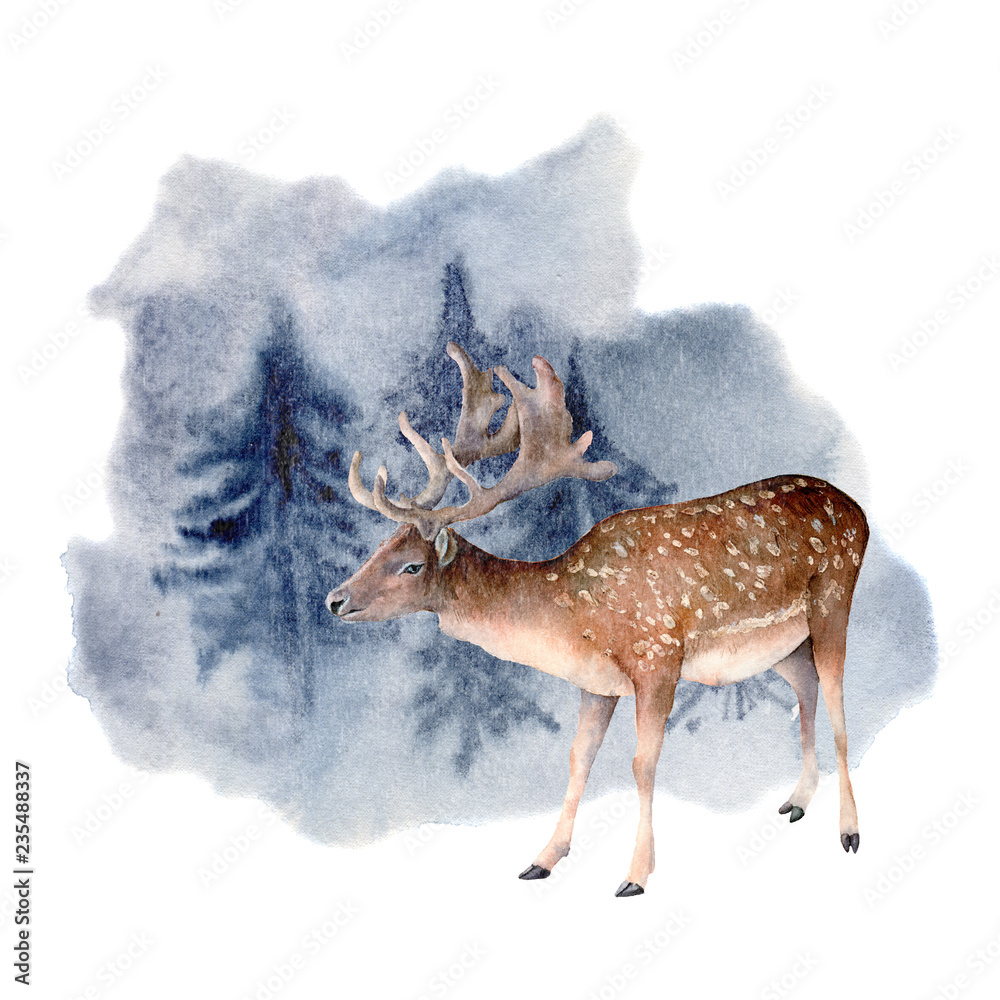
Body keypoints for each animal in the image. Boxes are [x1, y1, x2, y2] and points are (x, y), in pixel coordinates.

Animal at [325, 342, 868, 896]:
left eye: (411, 566)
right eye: (379, 546)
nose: (335, 600)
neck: (574, 618)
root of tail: (858, 510)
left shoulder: (658, 657)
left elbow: (642, 764)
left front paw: (635, 875)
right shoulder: (597, 684)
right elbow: (578, 759)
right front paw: (542, 859)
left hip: (834, 596)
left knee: (839, 702)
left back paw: (848, 831)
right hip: (784, 644)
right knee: (806, 686)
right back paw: (797, 801)